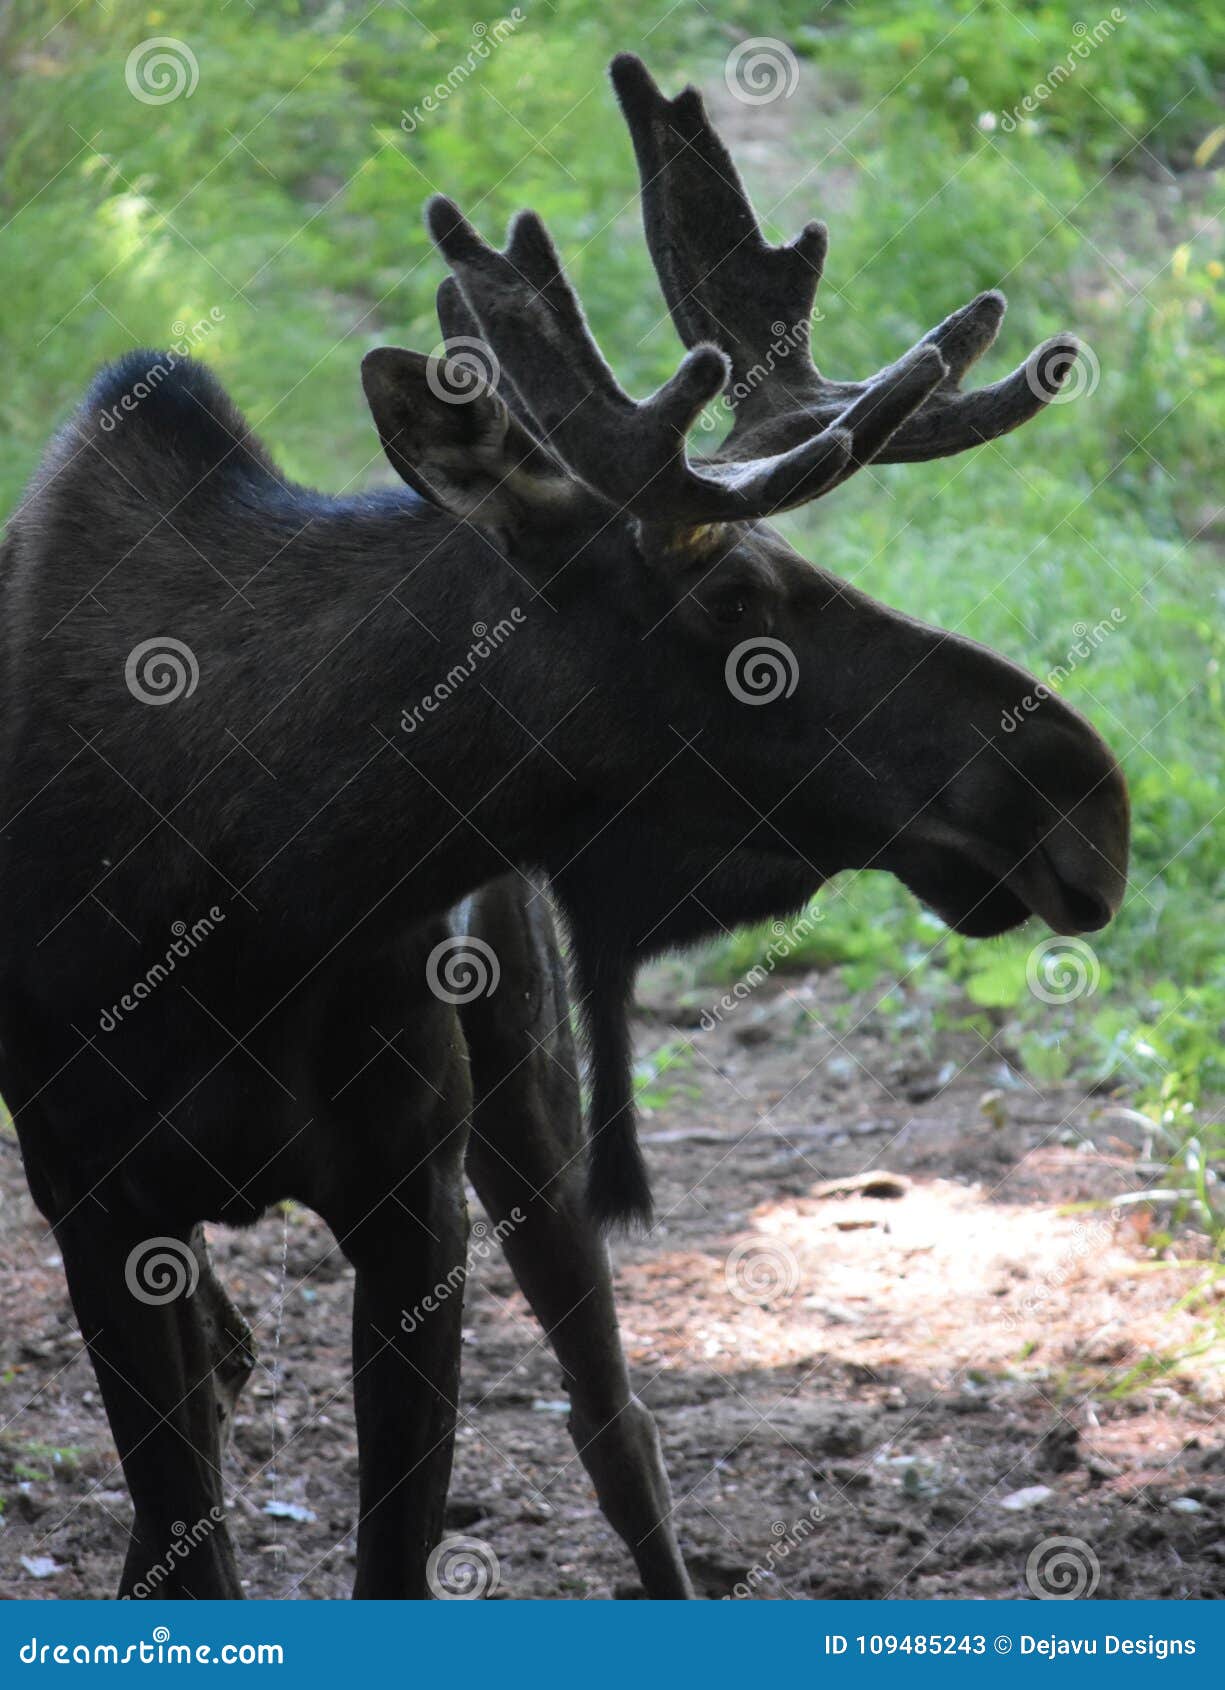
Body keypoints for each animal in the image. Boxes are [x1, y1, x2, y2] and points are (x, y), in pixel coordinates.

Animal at [0, 54, 1128, 1600]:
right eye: (735, 602)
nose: (1084, 793)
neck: (260, 888)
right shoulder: (94, 1197)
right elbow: (193, 1541)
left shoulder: (413, 1191)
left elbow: (397, 1557)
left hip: (525, 1082)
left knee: (618, 1424)